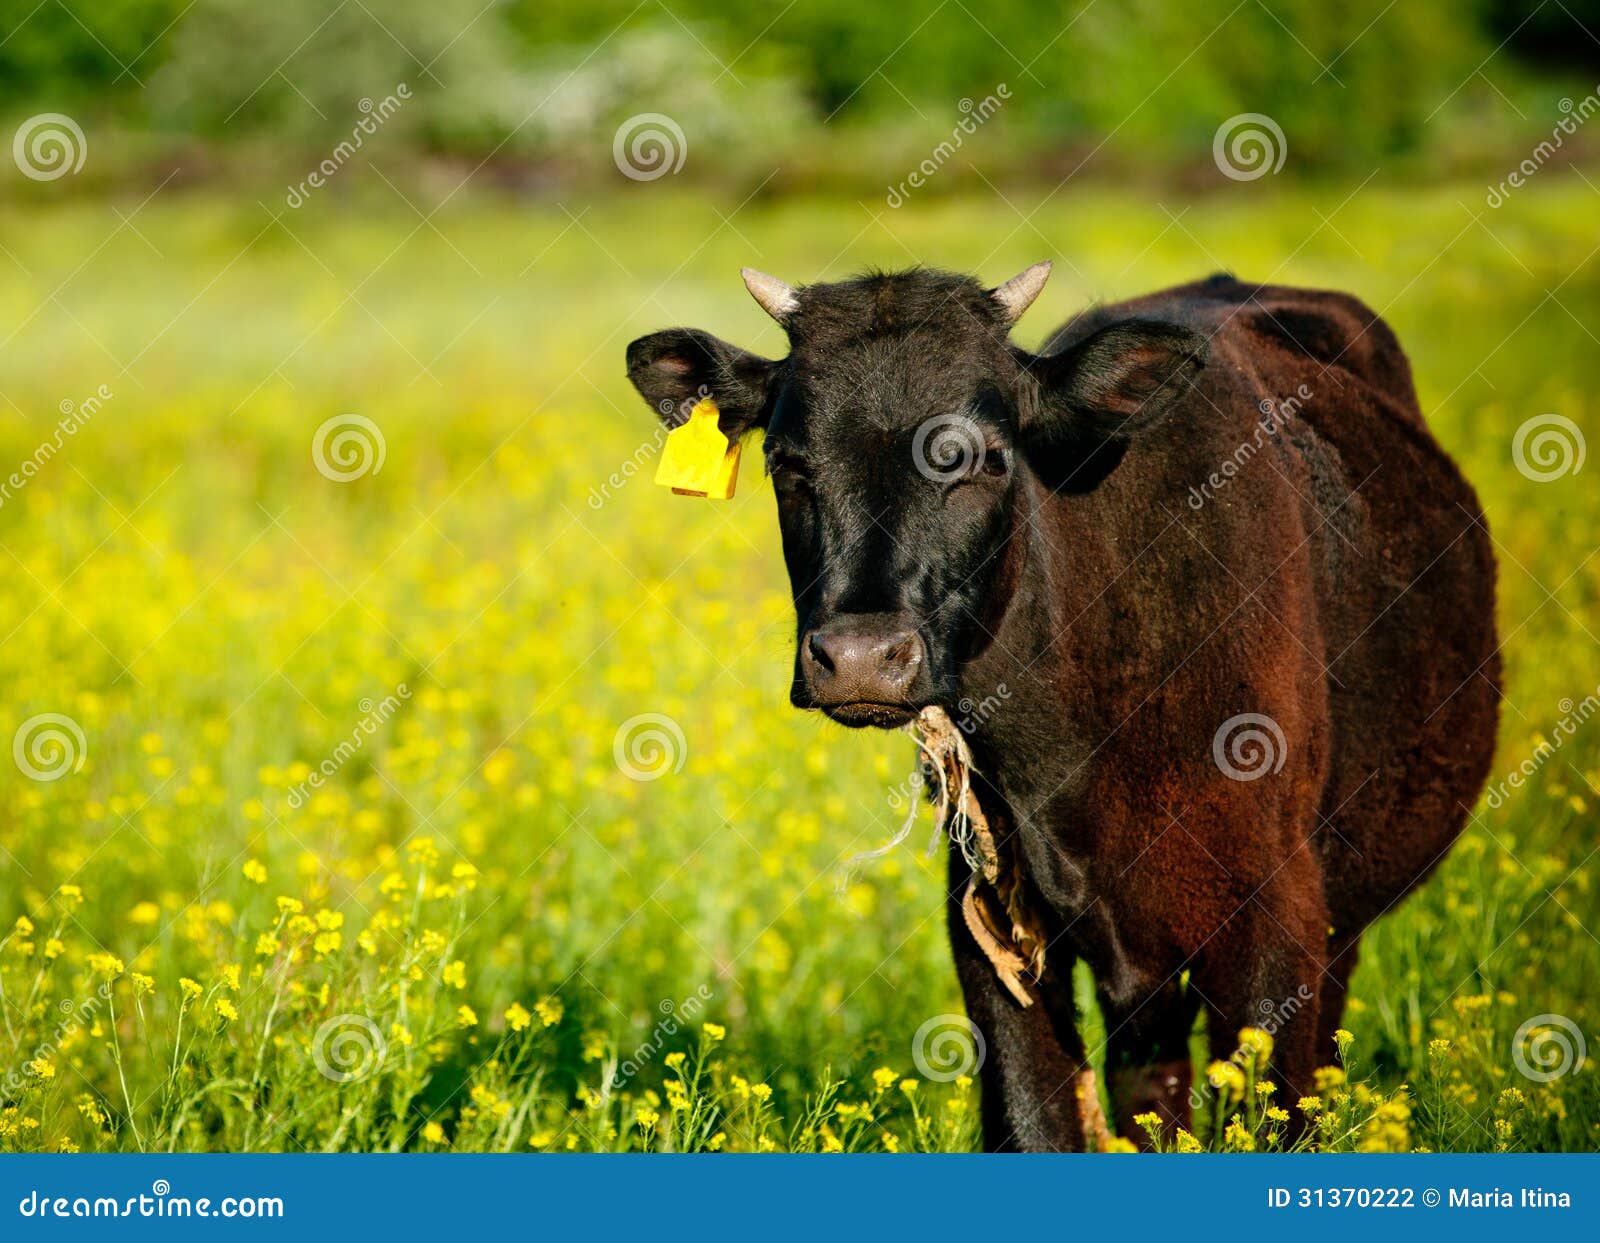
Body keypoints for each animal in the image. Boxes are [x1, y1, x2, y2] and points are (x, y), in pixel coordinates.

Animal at [624, 263, 1501, 1151]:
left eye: (980, 457)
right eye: (787, 463)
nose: (862, 657)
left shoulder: (1277, 923)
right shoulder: (995, 932)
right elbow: (1034, 1121)